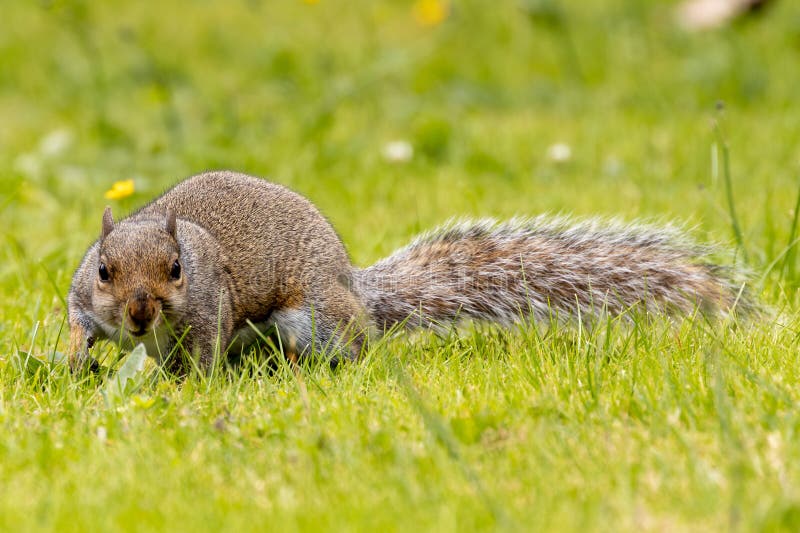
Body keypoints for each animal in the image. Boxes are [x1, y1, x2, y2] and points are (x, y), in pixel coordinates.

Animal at [68, 170, 749, 373]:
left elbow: (204, 354)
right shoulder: (83, 297)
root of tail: (355, 286)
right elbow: (78, 322)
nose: (139, 314)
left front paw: (187, 388)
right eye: (102, 269)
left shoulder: (210, 307)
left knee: (352, 347)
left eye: (177, 269)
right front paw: (75, 357)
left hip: (313, 317)